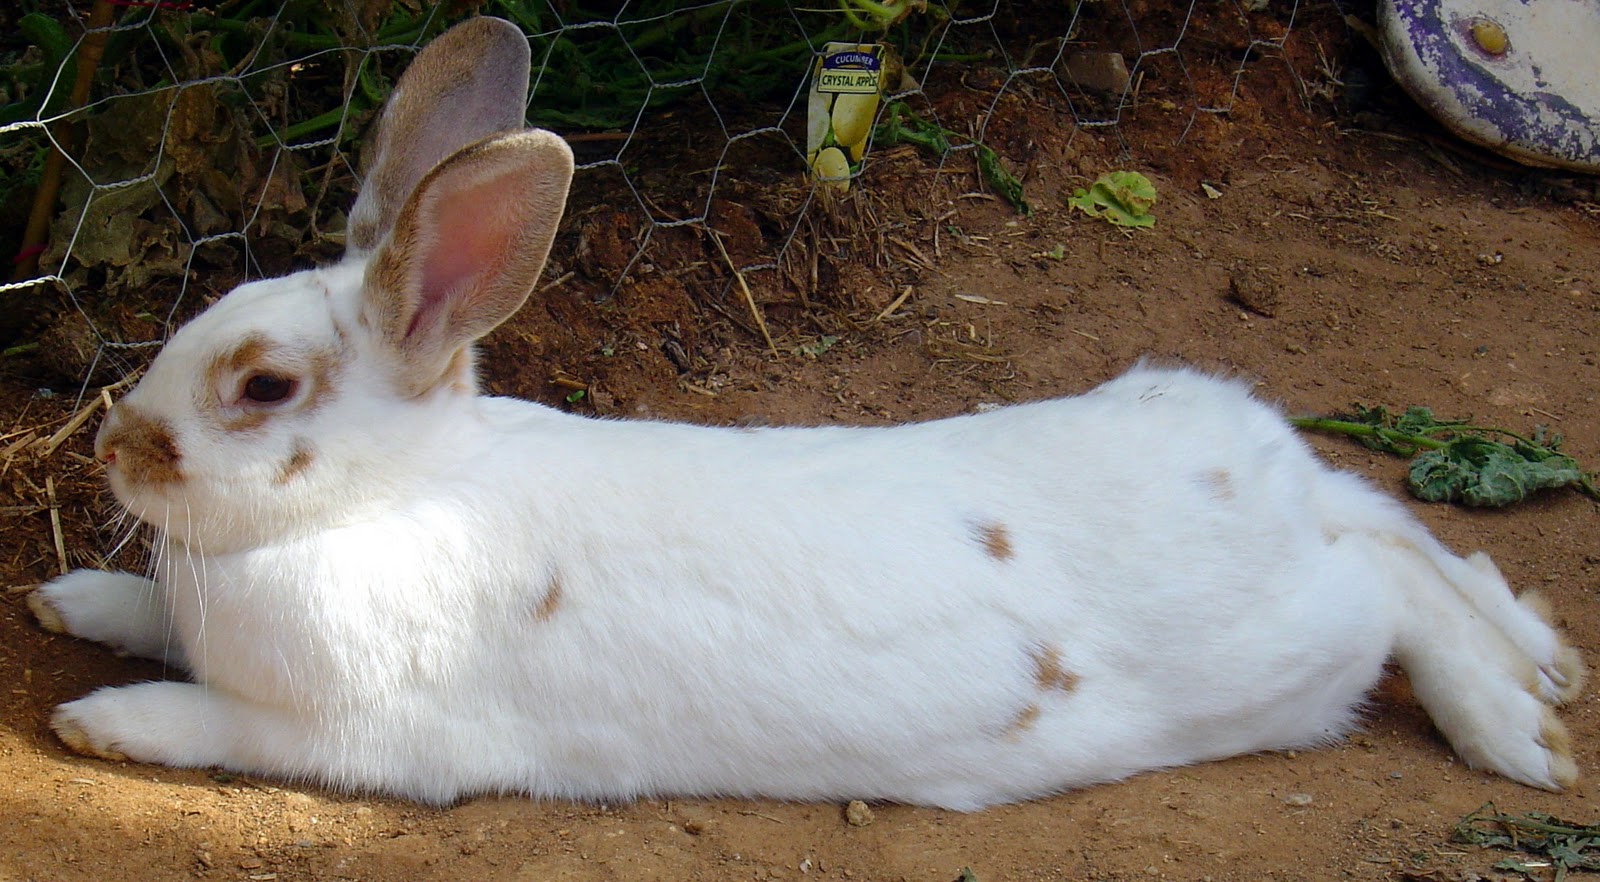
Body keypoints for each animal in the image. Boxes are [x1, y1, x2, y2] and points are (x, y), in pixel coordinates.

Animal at [28, 16, 1584, 809]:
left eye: (262, 387)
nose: (111, 446)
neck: (395, 495)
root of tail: (1262, 468)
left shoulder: (355, 734)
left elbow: (206, 721)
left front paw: (102, 722)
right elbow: (141, 605)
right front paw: (71, 598)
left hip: (1301, 642)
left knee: (1397, 593)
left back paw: (1516, 731)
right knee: (1411, 543)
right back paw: (1542, 668)